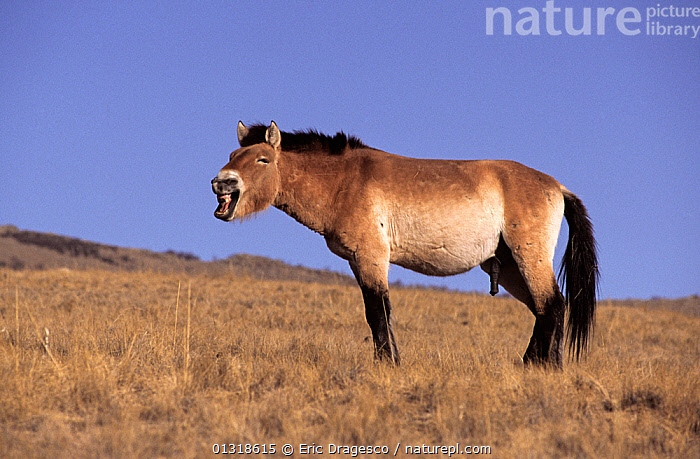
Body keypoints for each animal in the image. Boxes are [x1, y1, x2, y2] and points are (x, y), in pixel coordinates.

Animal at [211, 121, 599, 368]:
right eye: (231, 155)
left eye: (263, 159)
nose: (221, 183)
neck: (343, 182)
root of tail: (556, 186)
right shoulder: (357, 261)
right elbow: (378, 314)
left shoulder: (371, 258)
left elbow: (377, 312)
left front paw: (387, 364)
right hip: (509, 268)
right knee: (545, 309)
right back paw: (537, 364)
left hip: (528, 257)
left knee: (553, 305)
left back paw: (546, 366)